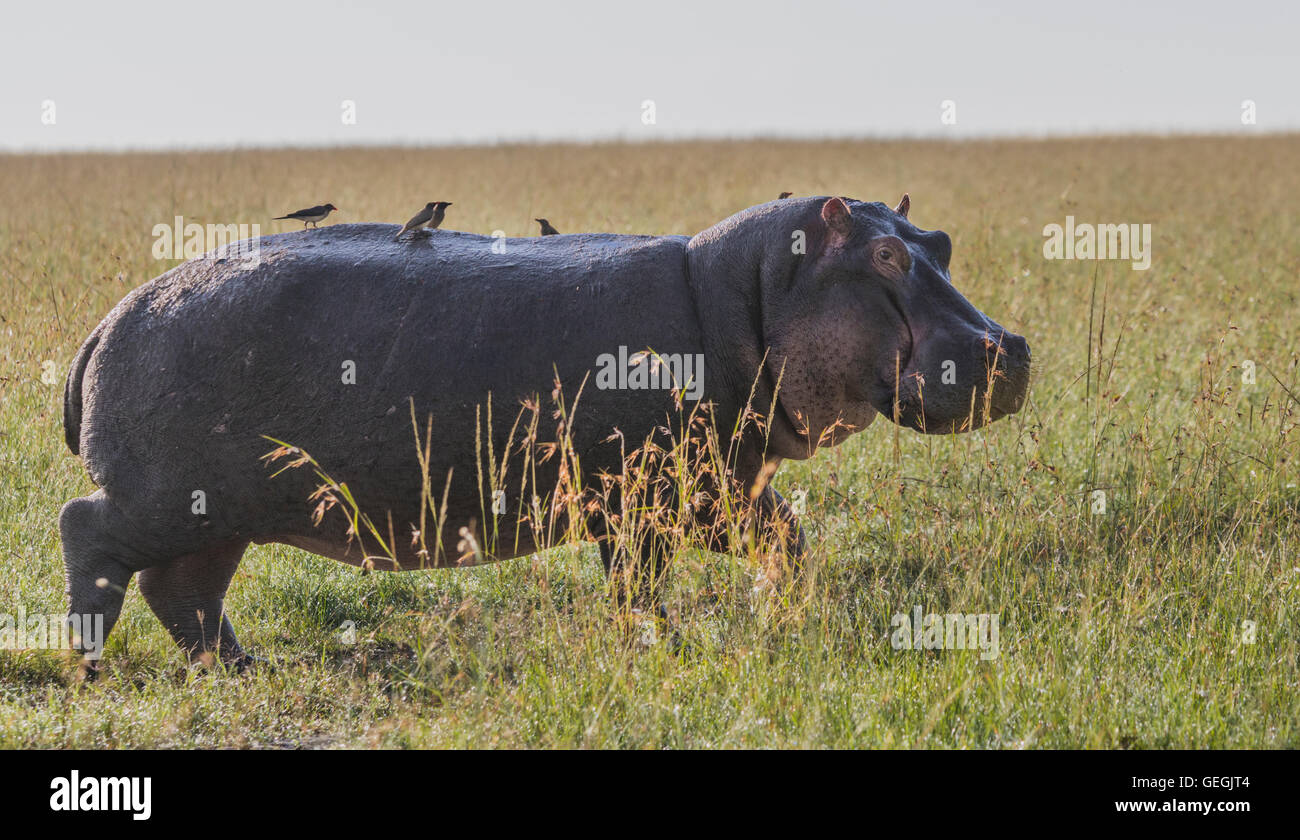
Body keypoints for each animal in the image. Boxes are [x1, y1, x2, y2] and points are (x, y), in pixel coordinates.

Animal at [59, 195, 1030, 670]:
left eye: (942, 240)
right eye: (886, 257)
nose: (1007, 347)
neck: (748, 291)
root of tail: (107, 320)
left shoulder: (714, 486)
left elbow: (784, 540)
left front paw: (779, 614)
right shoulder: (642, 497)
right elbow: (639, 583)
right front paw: (667, 648)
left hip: (221, 511)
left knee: (187, 592)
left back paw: (242, 666)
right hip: (166, 499)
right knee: (90, 534)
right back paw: (90, 660)